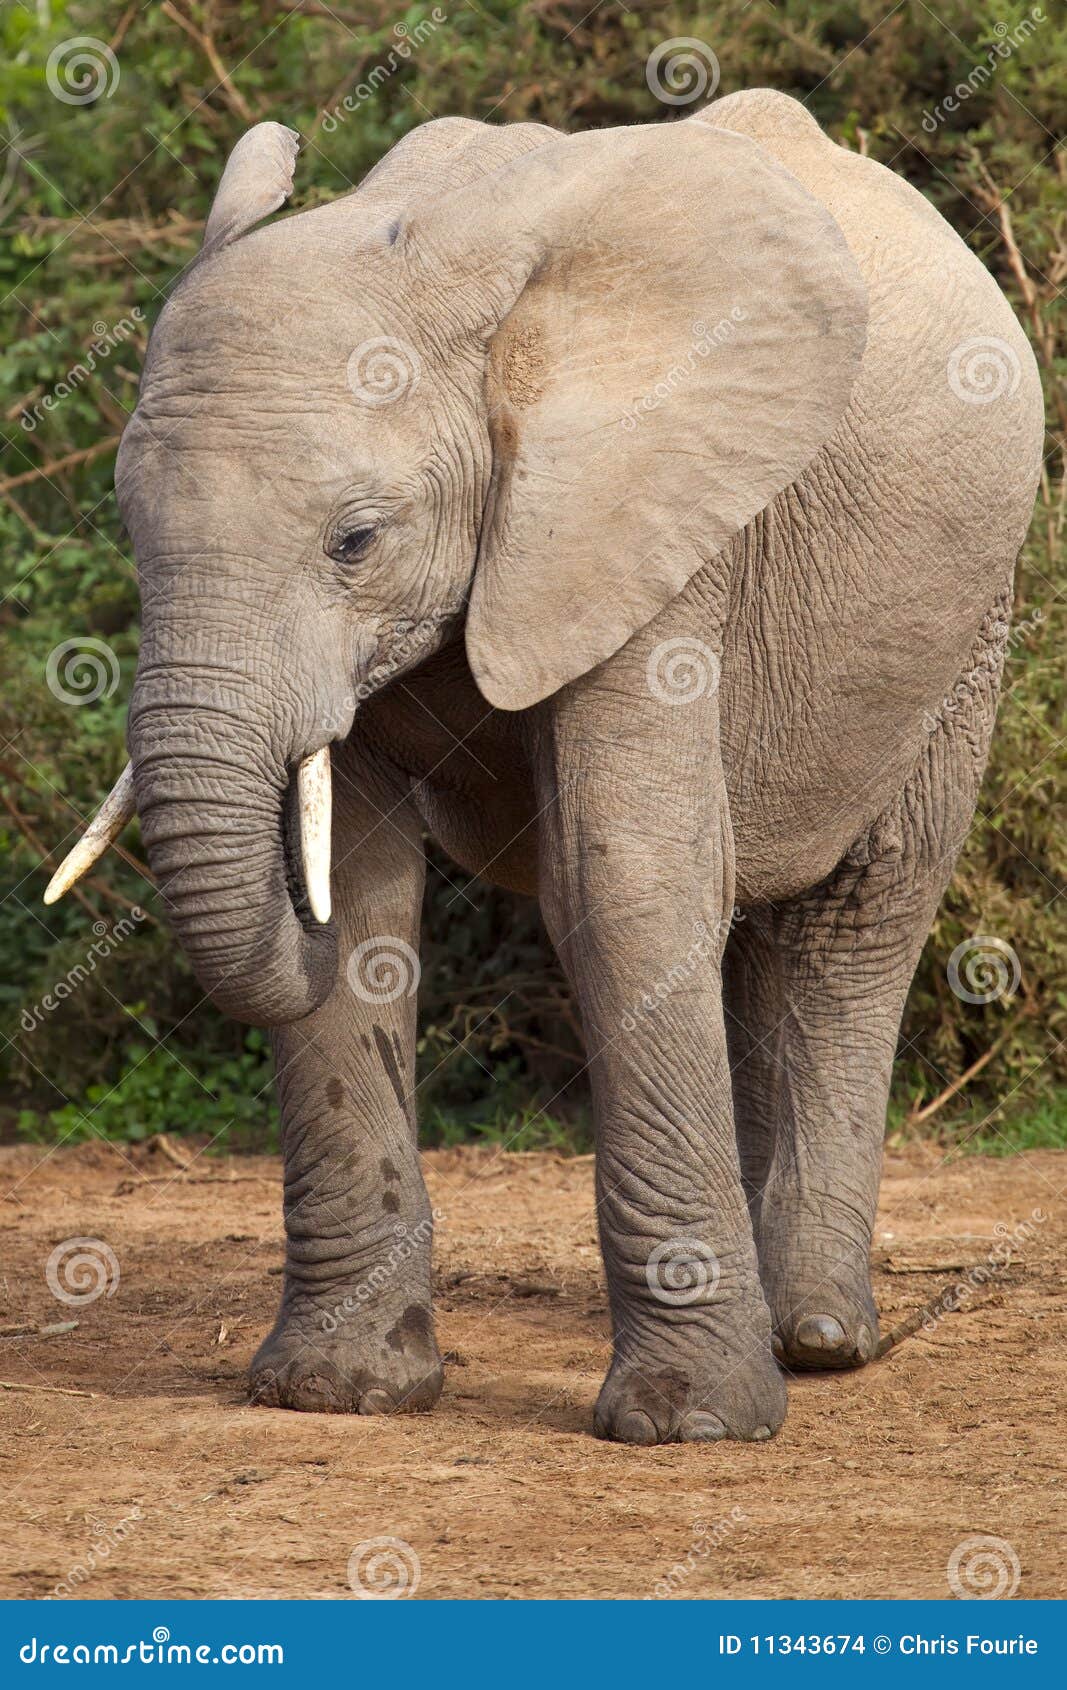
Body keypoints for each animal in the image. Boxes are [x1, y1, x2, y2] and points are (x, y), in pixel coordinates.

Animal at [46, 89, 1043, 1445]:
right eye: (128, 525)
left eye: (355, 539)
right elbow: (364, 899)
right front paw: (337, 1393)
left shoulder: (648, 528)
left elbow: (619, 883)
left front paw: (688, 1425)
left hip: (968, 621)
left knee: (853, 923)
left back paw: (818, 1340)